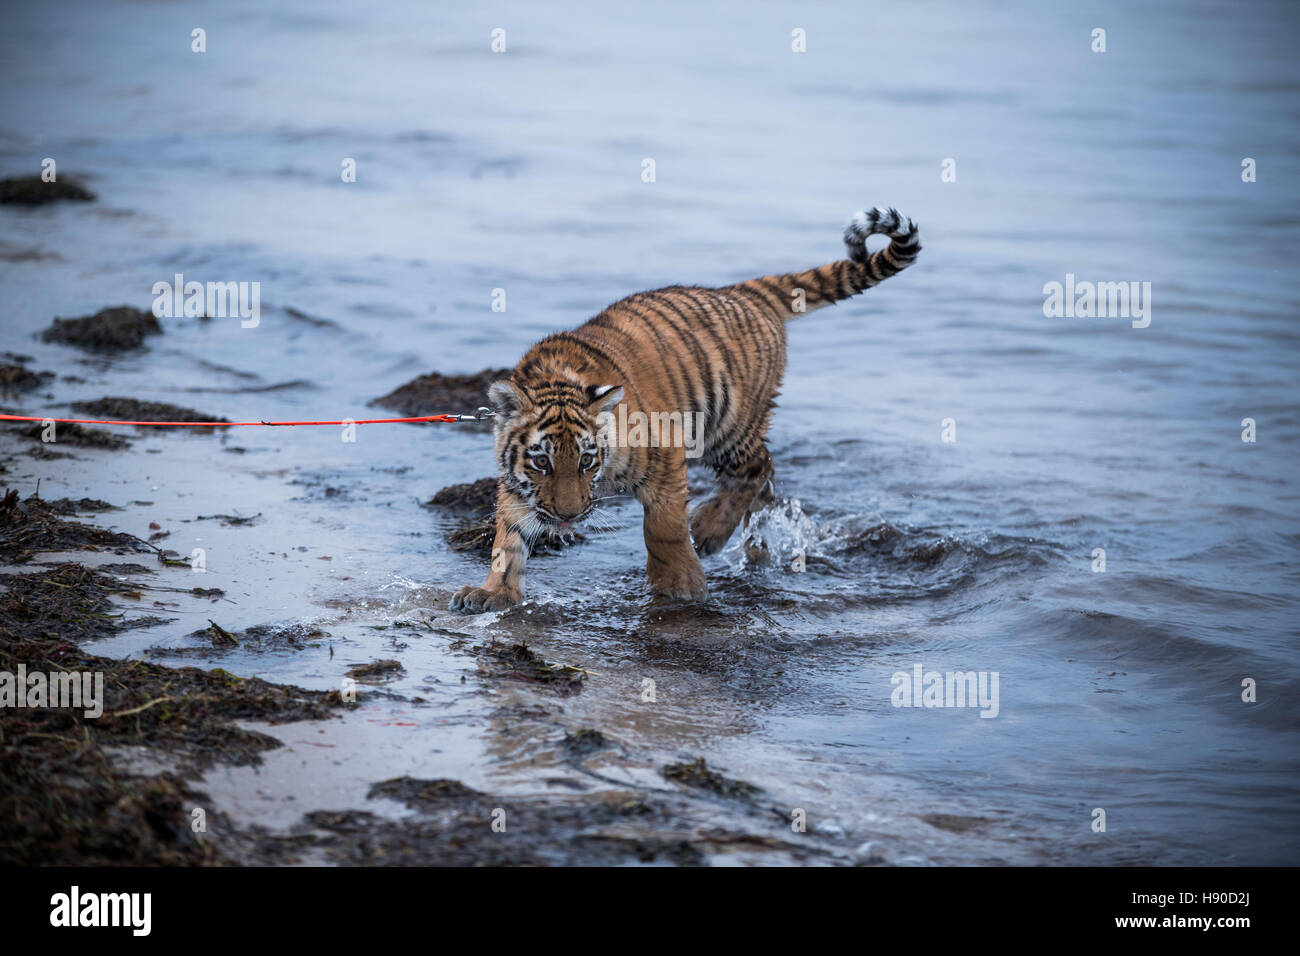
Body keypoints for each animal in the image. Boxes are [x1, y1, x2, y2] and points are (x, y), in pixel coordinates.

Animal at [450, 206, 920, 613]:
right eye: (542, 462)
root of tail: (740, 292)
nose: (568, 516)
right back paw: (754, 545)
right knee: (765, 485)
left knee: (758, 469)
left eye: (586, 461)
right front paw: (494, 593)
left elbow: (664, 528)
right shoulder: (517, 485)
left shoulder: (664, 456)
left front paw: (679, 585)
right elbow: (507, 540)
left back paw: (710, 530)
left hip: (728, 425)